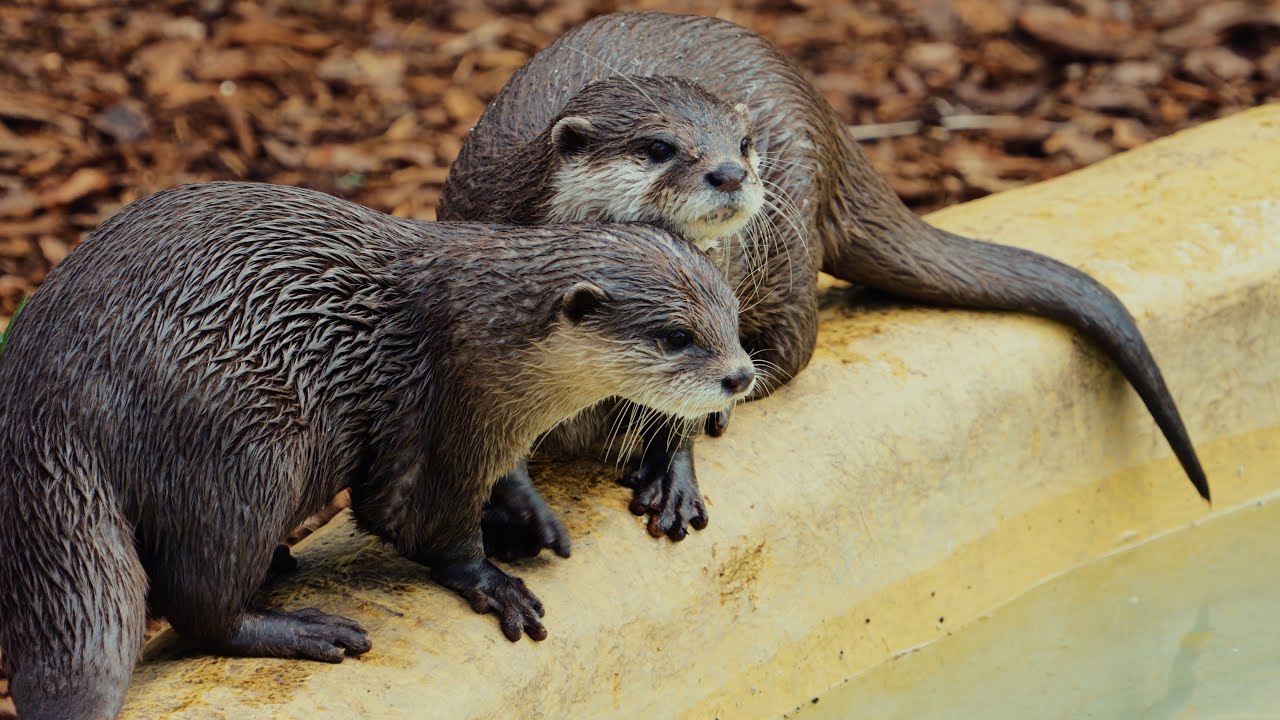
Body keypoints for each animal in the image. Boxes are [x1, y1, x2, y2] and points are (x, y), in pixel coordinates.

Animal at [0, 181, 753, 720]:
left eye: (731, 315)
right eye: (676, 337)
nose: (741, 375)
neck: (486, 337)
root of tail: (44, 389)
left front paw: (533, 519)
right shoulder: (447, 412)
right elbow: (415, 522)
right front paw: (492, 581)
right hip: (249, 440)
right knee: (199, 601)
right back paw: (303, 629)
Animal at [438, 11, 1210, 551]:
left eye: (742, 143)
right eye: (658, 147)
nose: (732, 171)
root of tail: (818, 107)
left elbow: (696, 387)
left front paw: (674, 475)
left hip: (784, 256)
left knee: (797, 347)